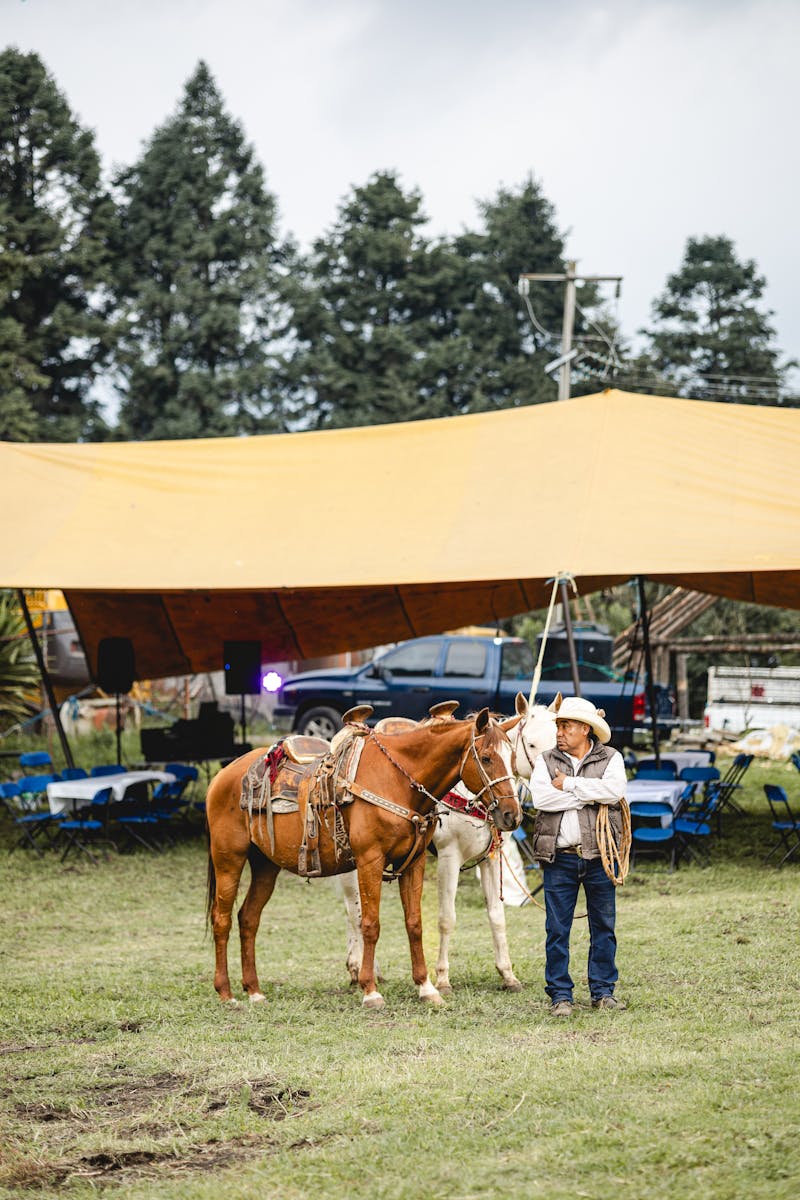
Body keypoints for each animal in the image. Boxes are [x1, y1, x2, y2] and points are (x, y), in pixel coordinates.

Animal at [205, 705, 522, 1010]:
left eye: (513, 756)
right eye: (486, 758)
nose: (512, 815)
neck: (397, 780)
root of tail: (222, 775)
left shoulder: (414, 862)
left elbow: (415, 923)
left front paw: (426, 987)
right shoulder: (372, 860)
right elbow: (371, 923)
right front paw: (370, 991)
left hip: (265, 865)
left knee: (248, 918)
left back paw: (254, 991)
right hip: (228, 859)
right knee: (221, 919)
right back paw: (226, 993)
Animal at [338, 695, 559, 994]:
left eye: (511, 755)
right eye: (532, 744)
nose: (512, 816)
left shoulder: (492, 859)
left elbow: (497, 916)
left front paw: (507, 974)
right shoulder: (448, 858)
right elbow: (446, 918)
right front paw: (442, 979)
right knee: (354, 910)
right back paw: (359, 968)